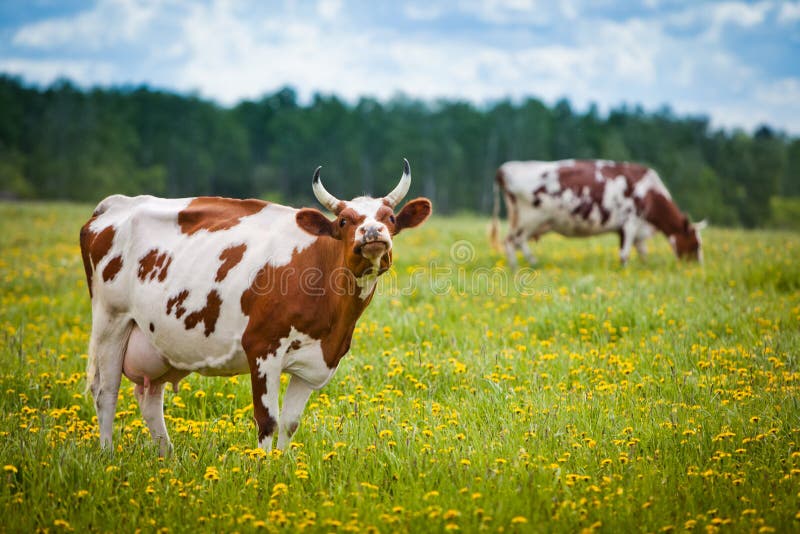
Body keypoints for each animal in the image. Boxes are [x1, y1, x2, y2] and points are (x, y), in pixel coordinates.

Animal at [80, 160, 431, 455]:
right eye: (345, 220)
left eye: (389, 218)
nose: (372, 232)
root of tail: (117, 203)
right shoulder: (262, 348)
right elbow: (268, 421)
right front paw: (262, 470)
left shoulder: (314, 362)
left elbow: (290, 423)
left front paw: (284, 467)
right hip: (111, 321)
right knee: (106, 392)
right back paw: (108, 456)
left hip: (156, 340)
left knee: (150, 396)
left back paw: (169, 458)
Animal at [490, 159, 706, 268]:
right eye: (696, 244)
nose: (698, 266)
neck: (649, 192)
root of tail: (505, 169)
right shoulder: (630, 222)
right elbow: (625, 253)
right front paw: (625, 270)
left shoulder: (633, 229)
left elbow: (642, 250)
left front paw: (644, 266)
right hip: (529, 219)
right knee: (512, 242)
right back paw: (523, 266)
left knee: (516, 242)